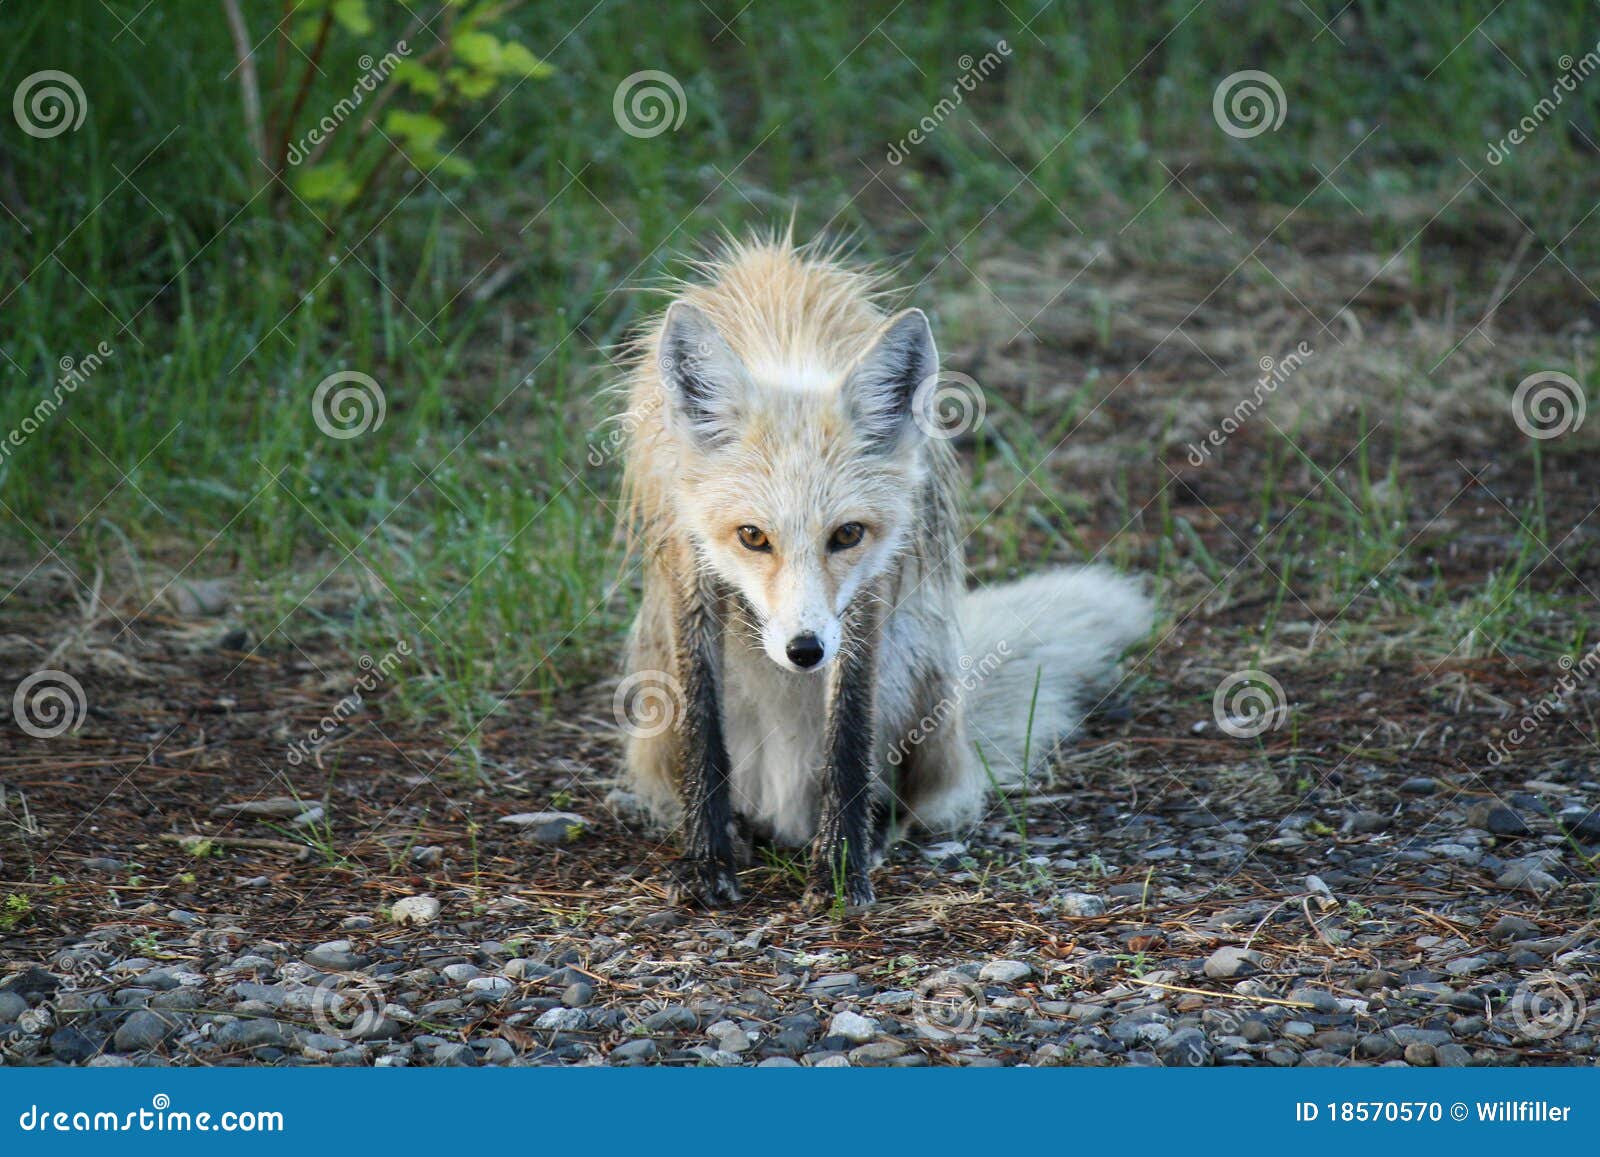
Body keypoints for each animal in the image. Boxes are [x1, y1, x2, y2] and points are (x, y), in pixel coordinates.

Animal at [617, 232, 1152, 910]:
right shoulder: (690, 557)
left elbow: (849, 729)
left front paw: (840, 865)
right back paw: (743, 831)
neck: (784, 331)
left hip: (917, 665)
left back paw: (871, 831)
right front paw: (705, 860)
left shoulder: (870, 585)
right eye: (752, 537)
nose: (804, 651)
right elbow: (703, 730)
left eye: (846, 534)